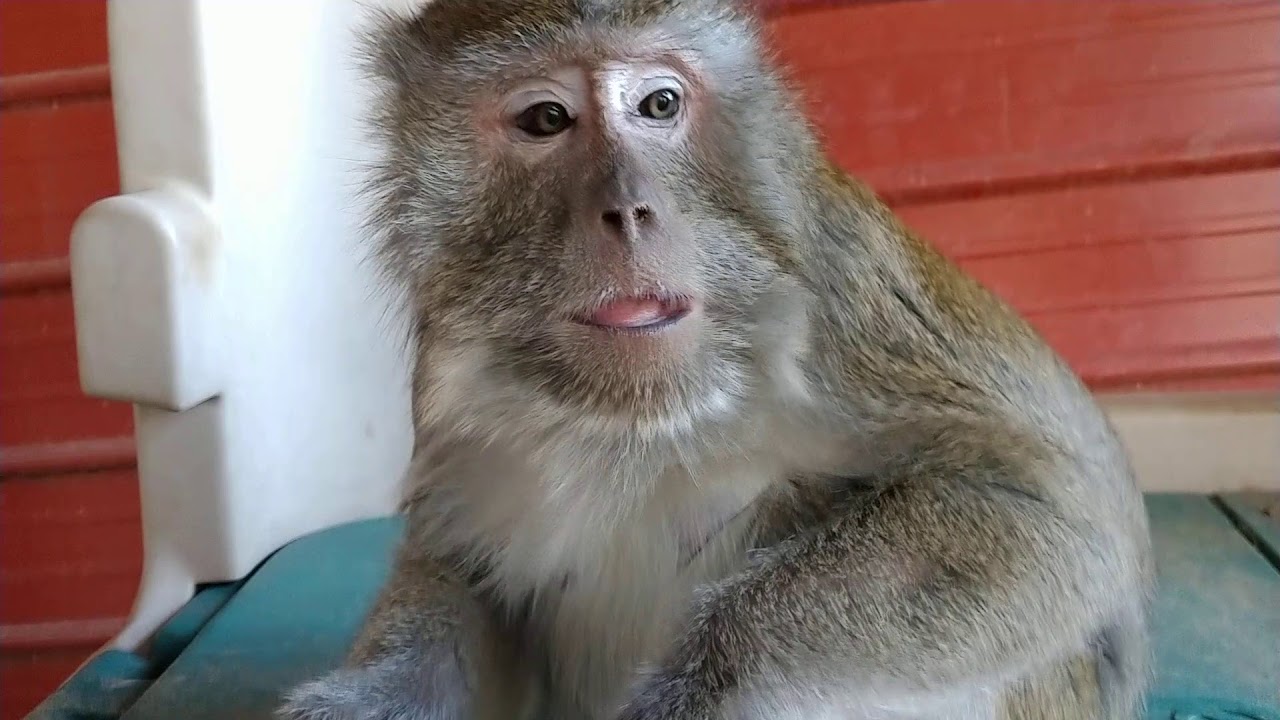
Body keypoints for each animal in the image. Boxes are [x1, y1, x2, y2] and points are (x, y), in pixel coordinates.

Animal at [278, 0, 1155, 717]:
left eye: (660, 104)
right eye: (547, 119)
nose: (629, 209)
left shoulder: (839, 300)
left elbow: (1054, 520)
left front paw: (699, 687)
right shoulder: (450, 363)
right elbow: (459, 557)